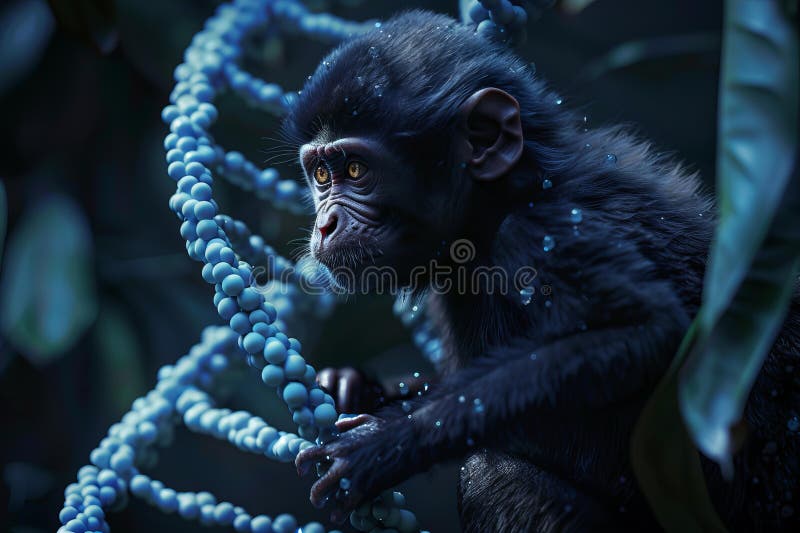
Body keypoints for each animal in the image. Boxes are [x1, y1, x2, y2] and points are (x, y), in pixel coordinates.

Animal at [285, 11, 800, 532]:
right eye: (322, 176)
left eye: (355, 171)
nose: (325, 223)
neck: (504, 197)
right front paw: (352, 387)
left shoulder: (544, 232)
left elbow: (645, 332)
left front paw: (384, 443)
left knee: (491, 475)